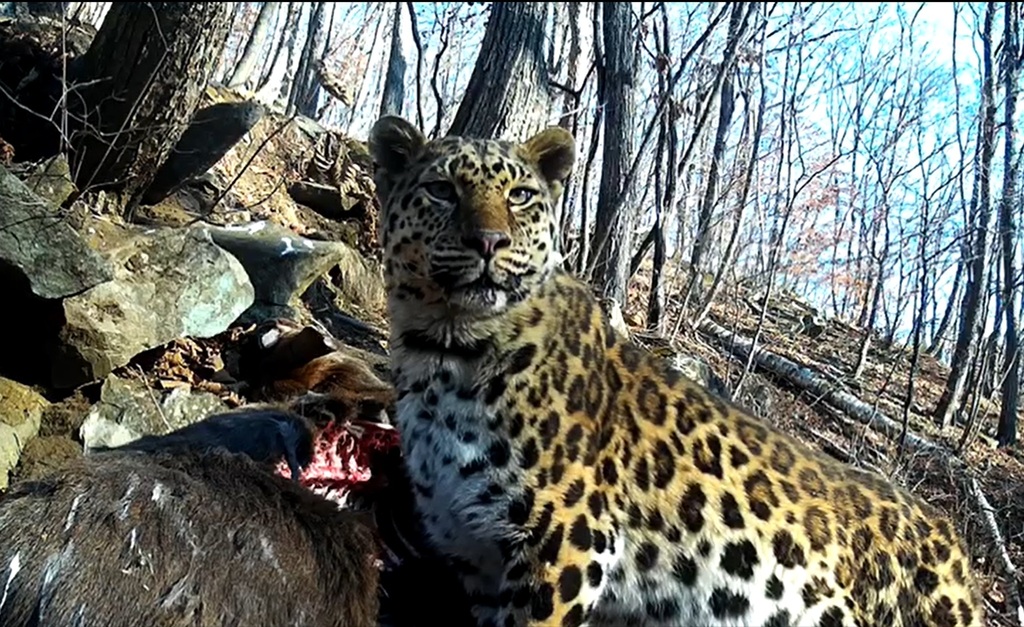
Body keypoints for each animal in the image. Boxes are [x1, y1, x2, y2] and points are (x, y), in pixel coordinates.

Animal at [366, 114, 985, 627]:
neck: (442, 351)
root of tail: (955, 542)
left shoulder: (565, 546)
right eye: (442, 191)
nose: (489, 241)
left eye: (519, 196)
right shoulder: (477, 560)